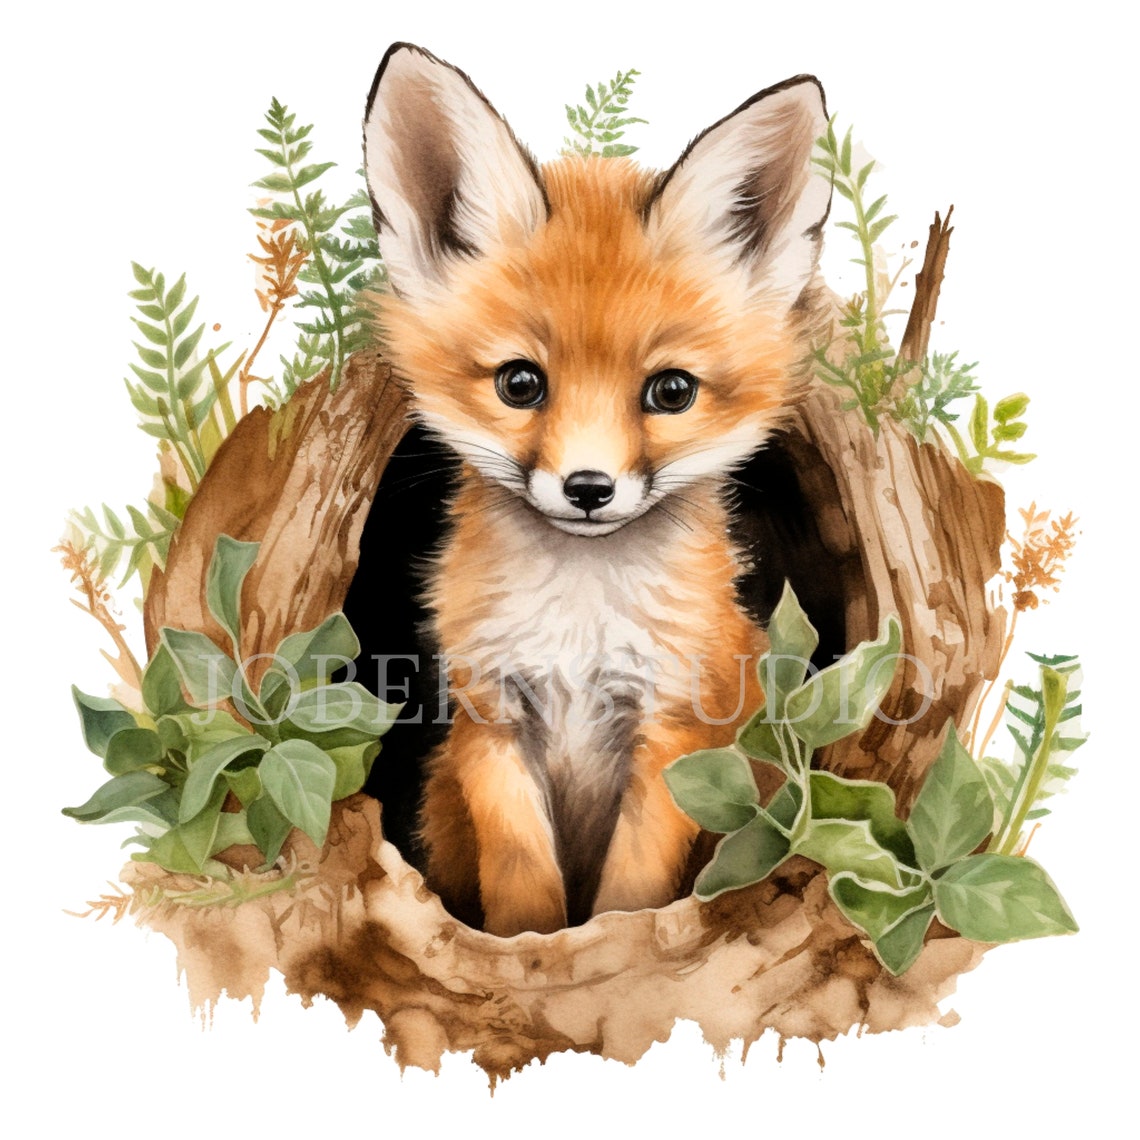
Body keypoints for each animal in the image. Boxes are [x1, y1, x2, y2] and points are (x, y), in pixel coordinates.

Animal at [362, 44, 830, 937]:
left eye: (671, 392)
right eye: (520, 383)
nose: (587, 487)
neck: (577, 624)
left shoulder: (675, 735)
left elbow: (630, 897)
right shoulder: (492, 726)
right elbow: (523, 885)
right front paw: (530, 947)